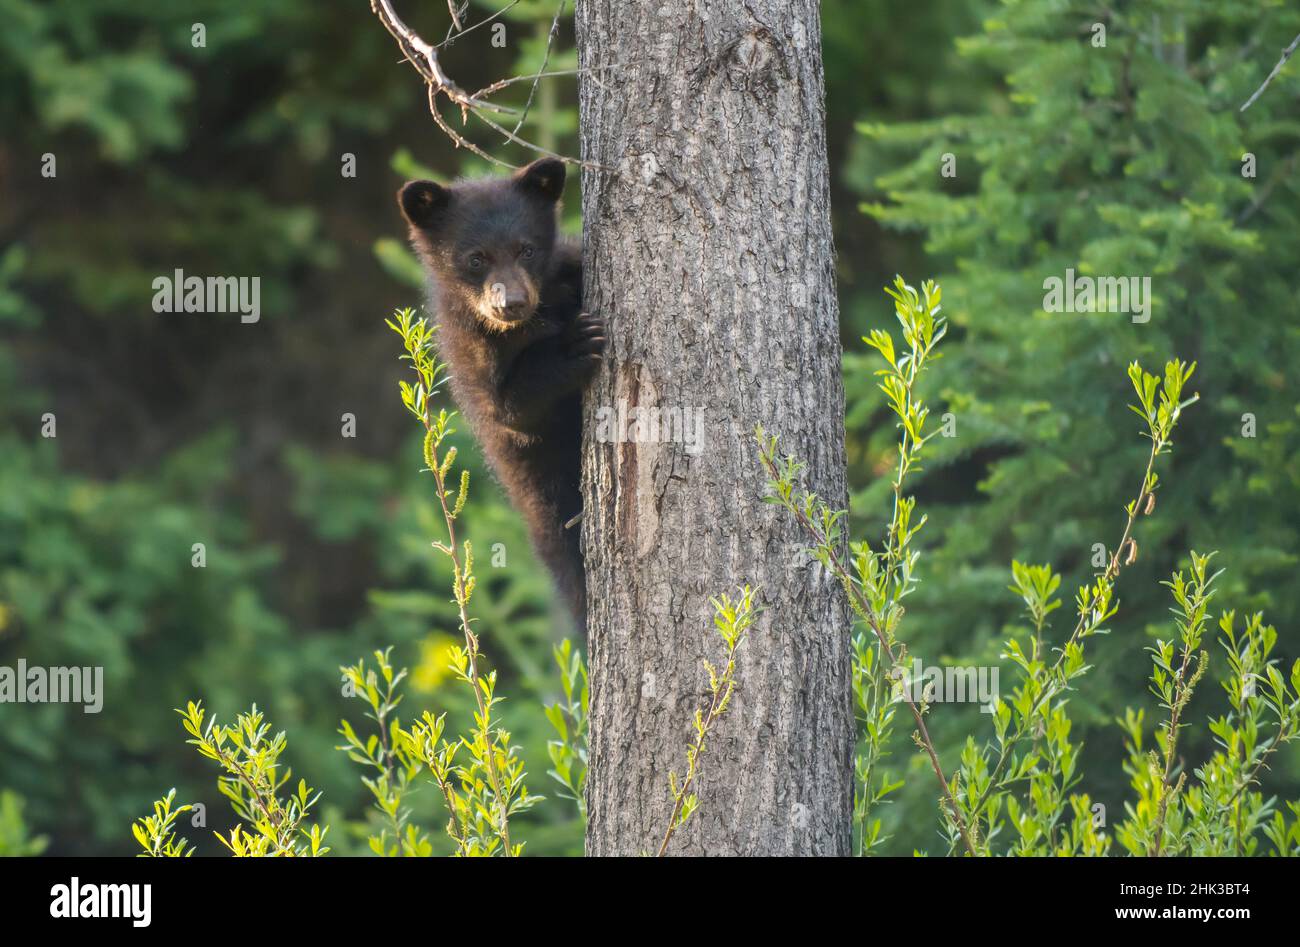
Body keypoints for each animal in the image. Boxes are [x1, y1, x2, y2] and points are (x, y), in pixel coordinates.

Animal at [397, 157, 603, 632]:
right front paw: (575, 343)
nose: (511, 303)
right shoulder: (470, 355)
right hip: (542, 498)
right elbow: (512, 408)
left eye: (526, 249)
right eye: (476, 259)